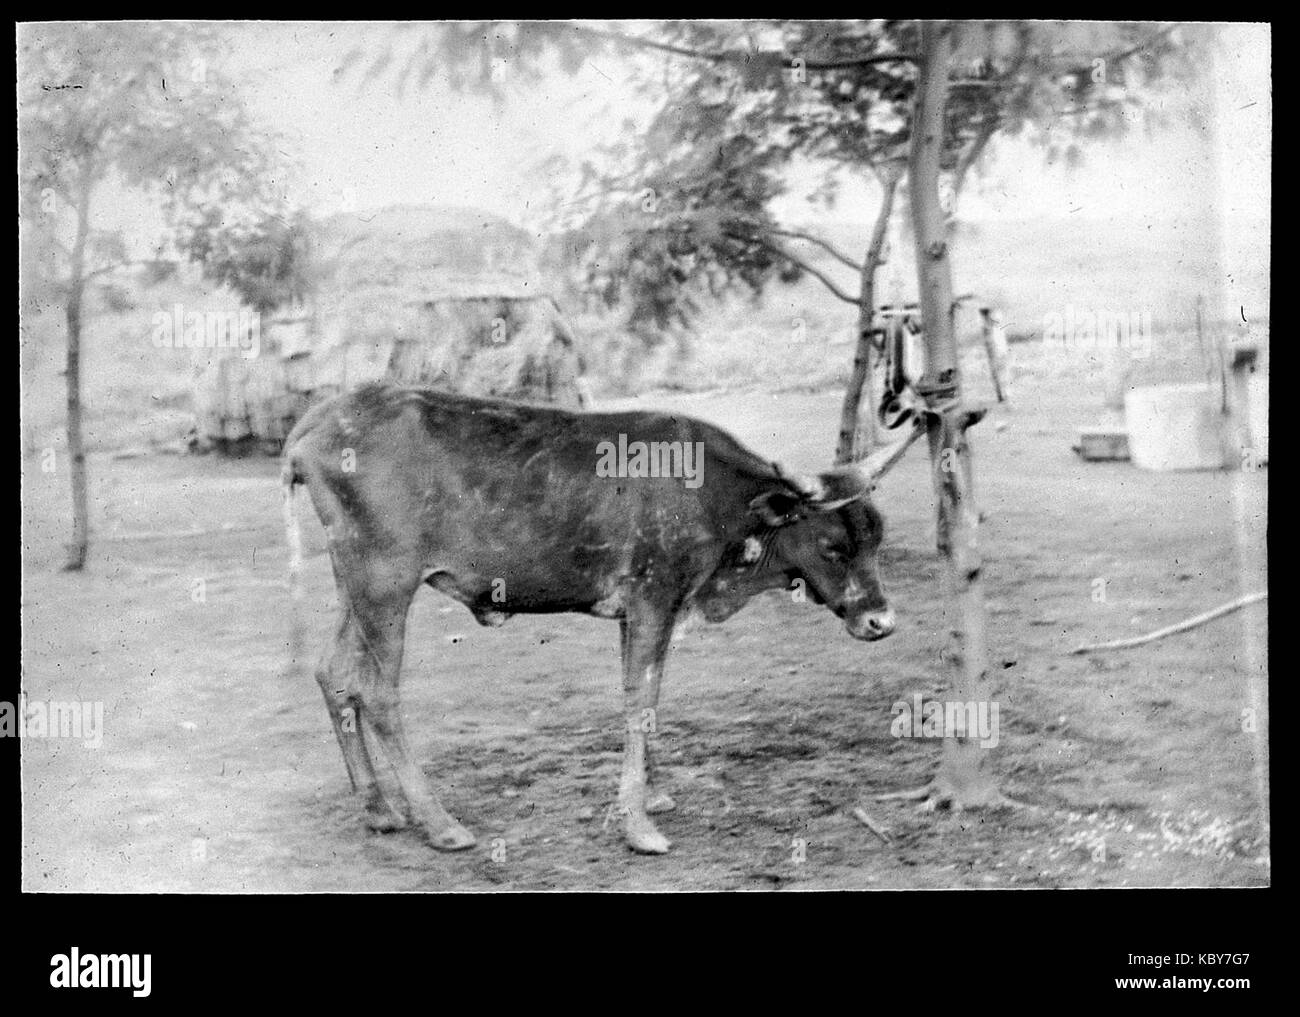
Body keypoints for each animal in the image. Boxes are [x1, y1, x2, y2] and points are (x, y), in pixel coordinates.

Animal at [281, 381, 922, 855]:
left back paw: (378, 808)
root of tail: (314, 426)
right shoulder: (654, 600)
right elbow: (641, 701)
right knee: (377, 691)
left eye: (876, 536)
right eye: (833, 545)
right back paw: (439, 823)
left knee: (334, 673)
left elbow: (645, 701)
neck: (720, 499)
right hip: (385, 582)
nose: (880, 621)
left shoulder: (640, 613)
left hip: (356, 584)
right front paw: (639, 825)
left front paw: (650, 798)